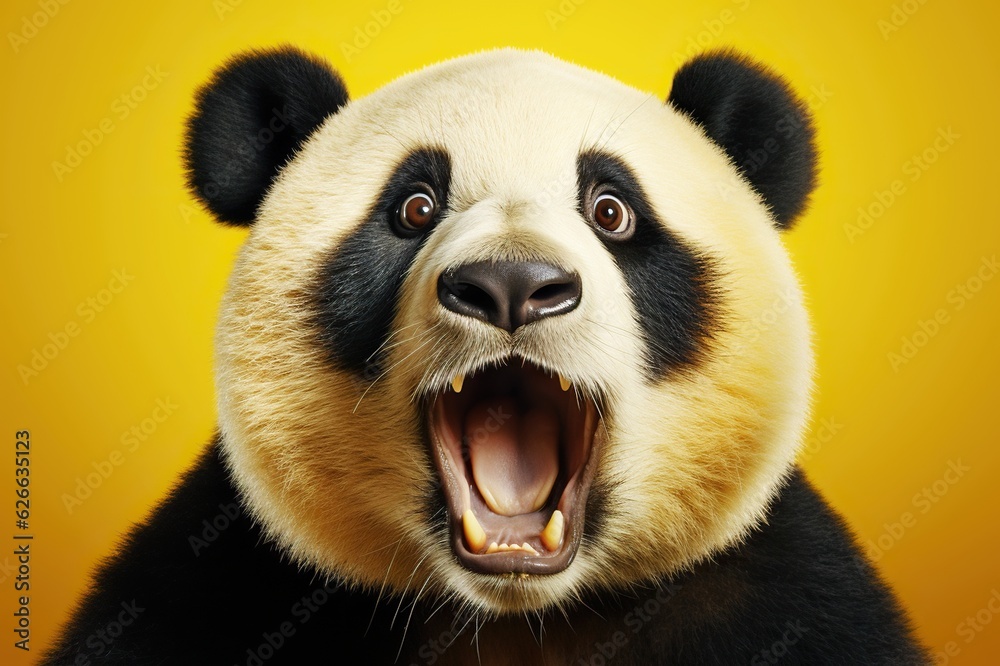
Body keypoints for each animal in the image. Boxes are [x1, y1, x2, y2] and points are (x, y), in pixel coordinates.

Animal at [44, 46, 927, 664]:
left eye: (612, 209)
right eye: (413, 206)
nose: (511, 285)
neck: (514, 614)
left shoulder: (780, 600)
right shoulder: (214, 592)